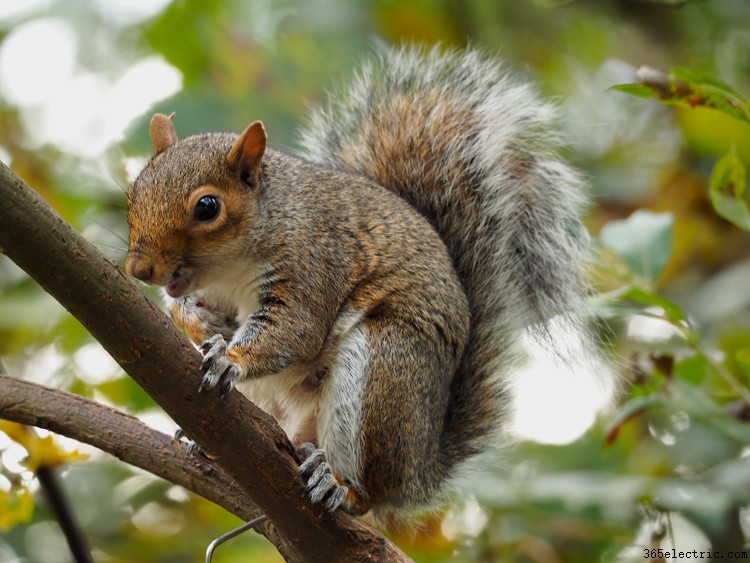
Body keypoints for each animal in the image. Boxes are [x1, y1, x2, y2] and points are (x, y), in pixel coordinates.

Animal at [125, 46, 592, 524]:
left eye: (207, 207)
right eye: (133, 192)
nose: (139, 269)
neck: (230, 270)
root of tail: (420, 472)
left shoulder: (312, 264)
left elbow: (295, 330)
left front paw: (229, 357)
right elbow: (189, 308)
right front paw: (198, 321)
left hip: (385, 370)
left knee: (368, 486)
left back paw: (341, 487)